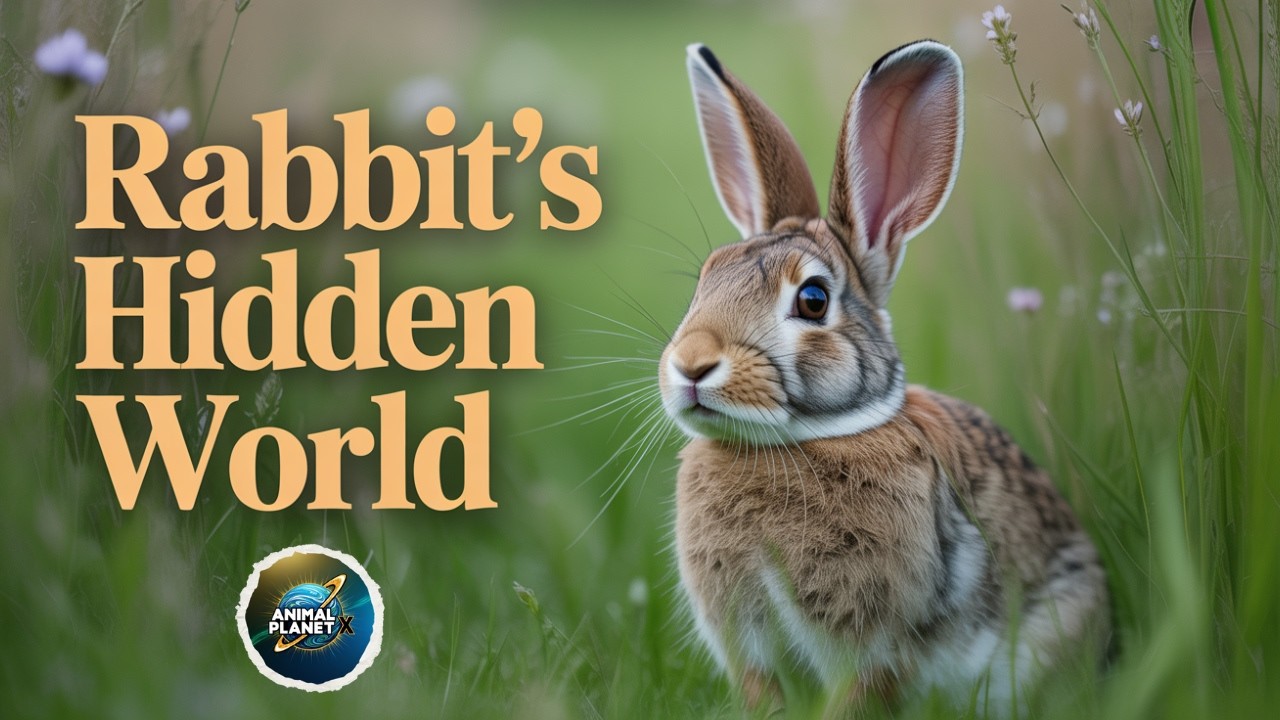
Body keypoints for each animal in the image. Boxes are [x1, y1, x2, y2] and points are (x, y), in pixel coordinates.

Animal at [659, 40, 1110, 714]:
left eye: (813, 300)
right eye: (705, 281)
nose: (689, 365)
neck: (800, 440)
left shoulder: (880, 648)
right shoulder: (752, 652)